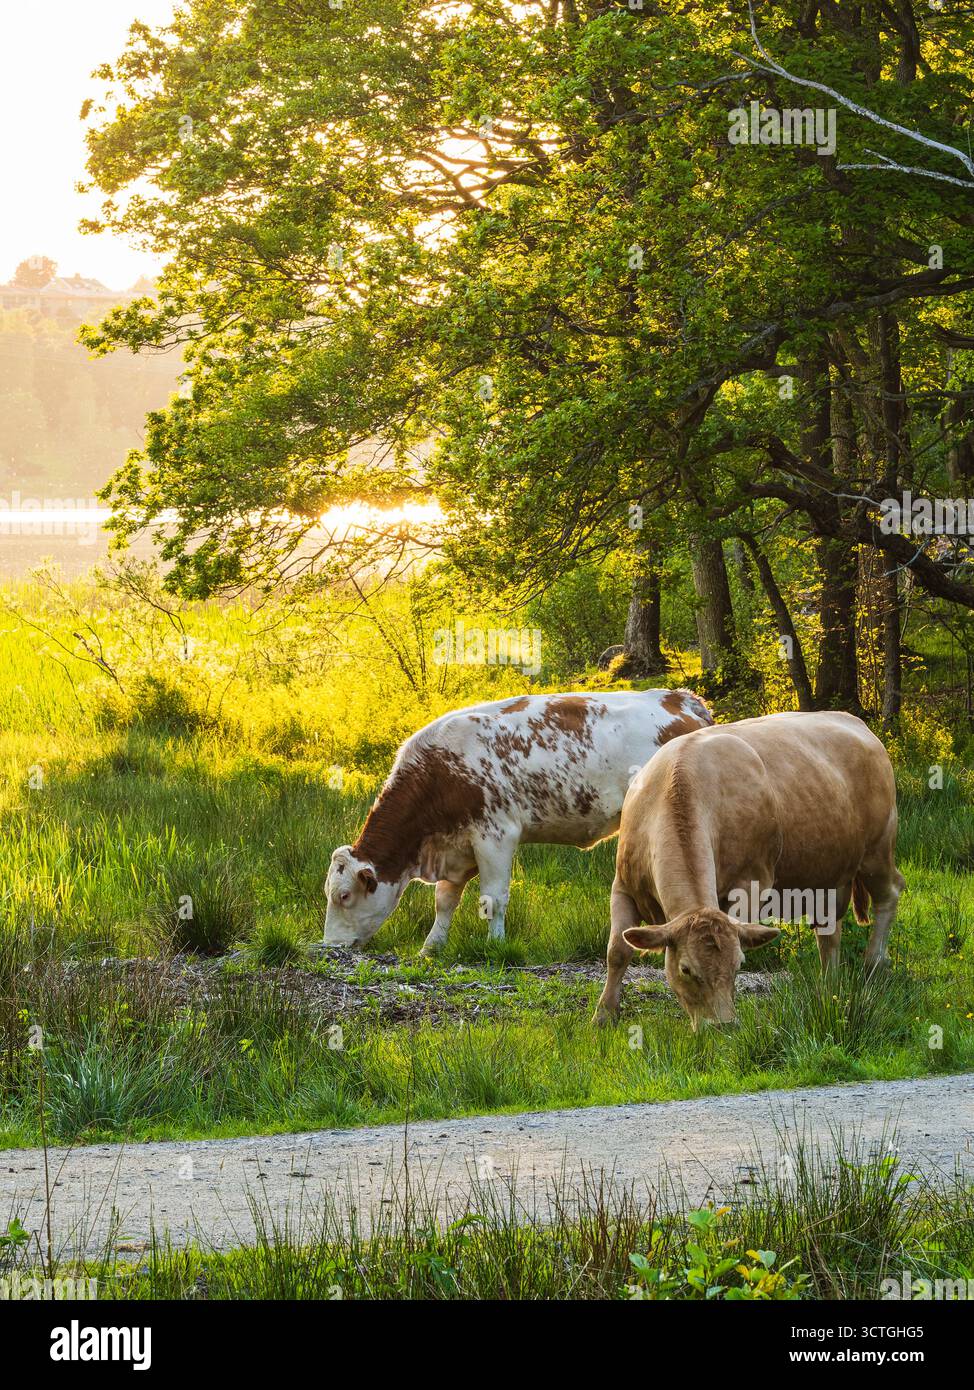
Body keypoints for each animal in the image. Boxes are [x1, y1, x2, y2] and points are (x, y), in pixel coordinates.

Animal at [323, 688, 713, 952]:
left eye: (344, 895)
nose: (329, 947)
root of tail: (679, 698)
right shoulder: (457, 845)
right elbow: (445, 900)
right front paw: (431, 947)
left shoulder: (496, 836)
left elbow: (493, 898)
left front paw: (495, 945)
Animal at [593, 710, 904, 1030]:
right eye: (686, 969)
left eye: (739, 964)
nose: (721, 1026)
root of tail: (852, 720)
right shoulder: (623, 887)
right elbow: (617, 951)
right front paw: (604, 1015)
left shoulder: (751, 883)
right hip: (826, 873)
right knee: (829, 930)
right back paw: (829, 985)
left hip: (877, 851)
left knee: (889, 893)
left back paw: (874, 963)